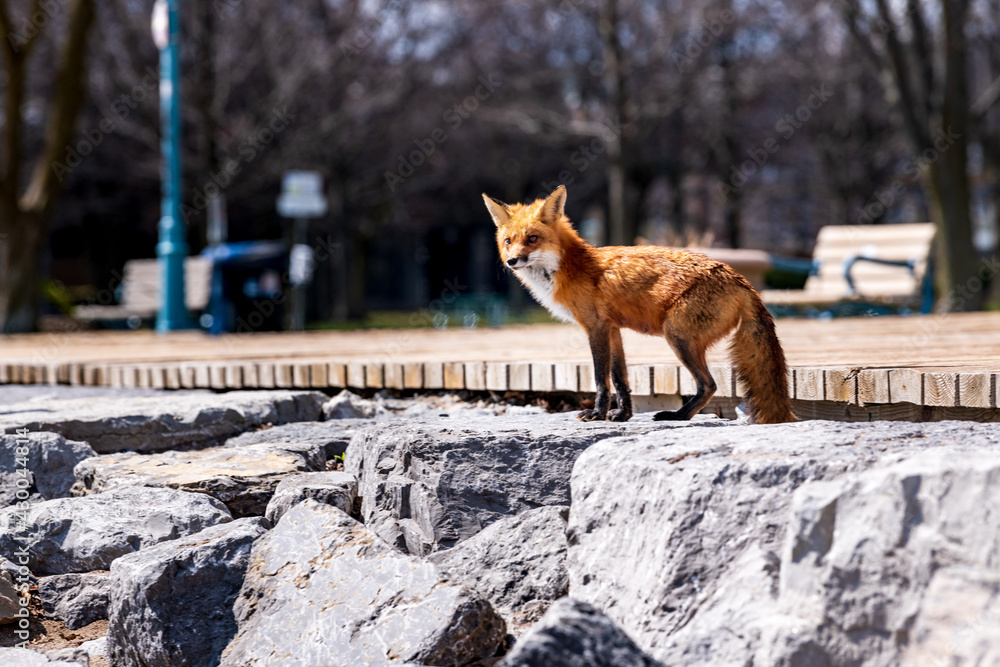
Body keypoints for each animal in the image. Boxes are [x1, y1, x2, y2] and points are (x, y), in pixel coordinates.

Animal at [482, 185, 796, 424]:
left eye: (532, 239)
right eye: (508, 241)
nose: (512, 261)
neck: (570, 267)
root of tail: (739, 279)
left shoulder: (595, 327)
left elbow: (600, 378)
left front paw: (597, 414)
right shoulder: (613, 329)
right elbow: (620, 378)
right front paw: (622, 415)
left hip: (677, 337)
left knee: (709, 385)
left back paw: (678, 416)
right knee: (708, 385)